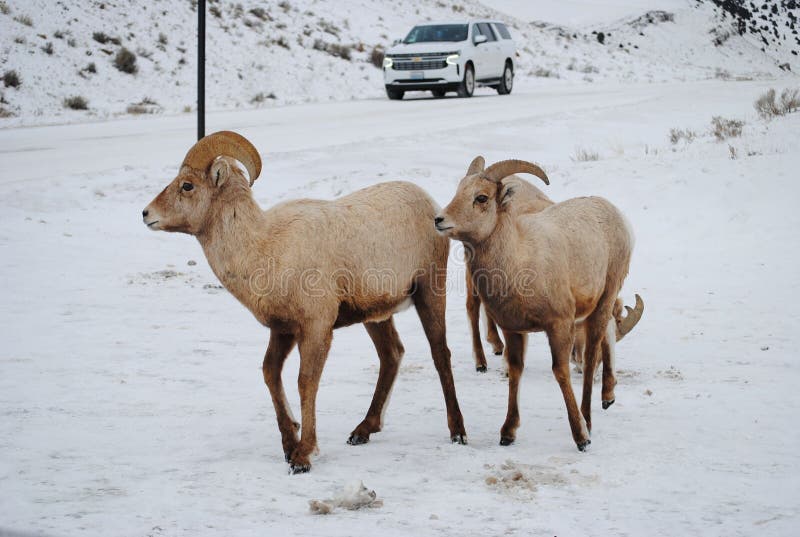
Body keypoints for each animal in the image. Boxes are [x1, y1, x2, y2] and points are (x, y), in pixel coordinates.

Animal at [142, 131, 467, 473]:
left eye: (187, 186)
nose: (146, 214)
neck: (264, 248)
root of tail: (431, 206)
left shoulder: (315, 329)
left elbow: (305, 382)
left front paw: (302, 456)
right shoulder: (283, 330)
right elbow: (270, 373)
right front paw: (289, 443)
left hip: (429, 294)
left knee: (440, 354)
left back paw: (457, 432)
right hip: (375, 317)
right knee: (391, 355)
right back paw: (362, 431)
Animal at [435, 157, 635, 450]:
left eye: (481, 197)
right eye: (458, 190)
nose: (439, 220)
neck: (519, 262)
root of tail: (616, 214)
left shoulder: (559, 325)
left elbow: (561, 372)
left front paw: (581, 438)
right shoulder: (513, 329)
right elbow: (515, 370)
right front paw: (507, 433)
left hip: (604, 298)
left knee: (590, 357)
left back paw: (589, 417)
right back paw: (606, 398)